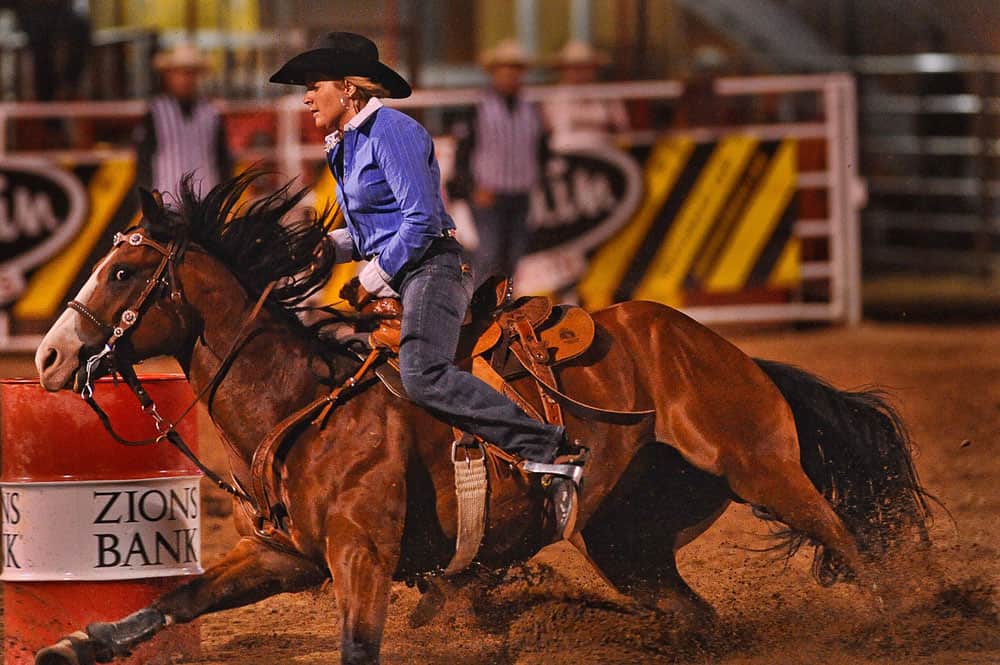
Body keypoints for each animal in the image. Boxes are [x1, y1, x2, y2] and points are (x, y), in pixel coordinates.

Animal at [33, 172, 930, 665]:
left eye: (122, 271)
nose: (46, 356)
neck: (307, 405)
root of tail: (726, 349)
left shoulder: (362, 555)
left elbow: (359, 644)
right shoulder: (286, 555)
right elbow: (178, 598)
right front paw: (75, 642)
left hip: (761, 467)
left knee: (852, 547)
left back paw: (905, 625)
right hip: (628, 542)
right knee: (698, 614)